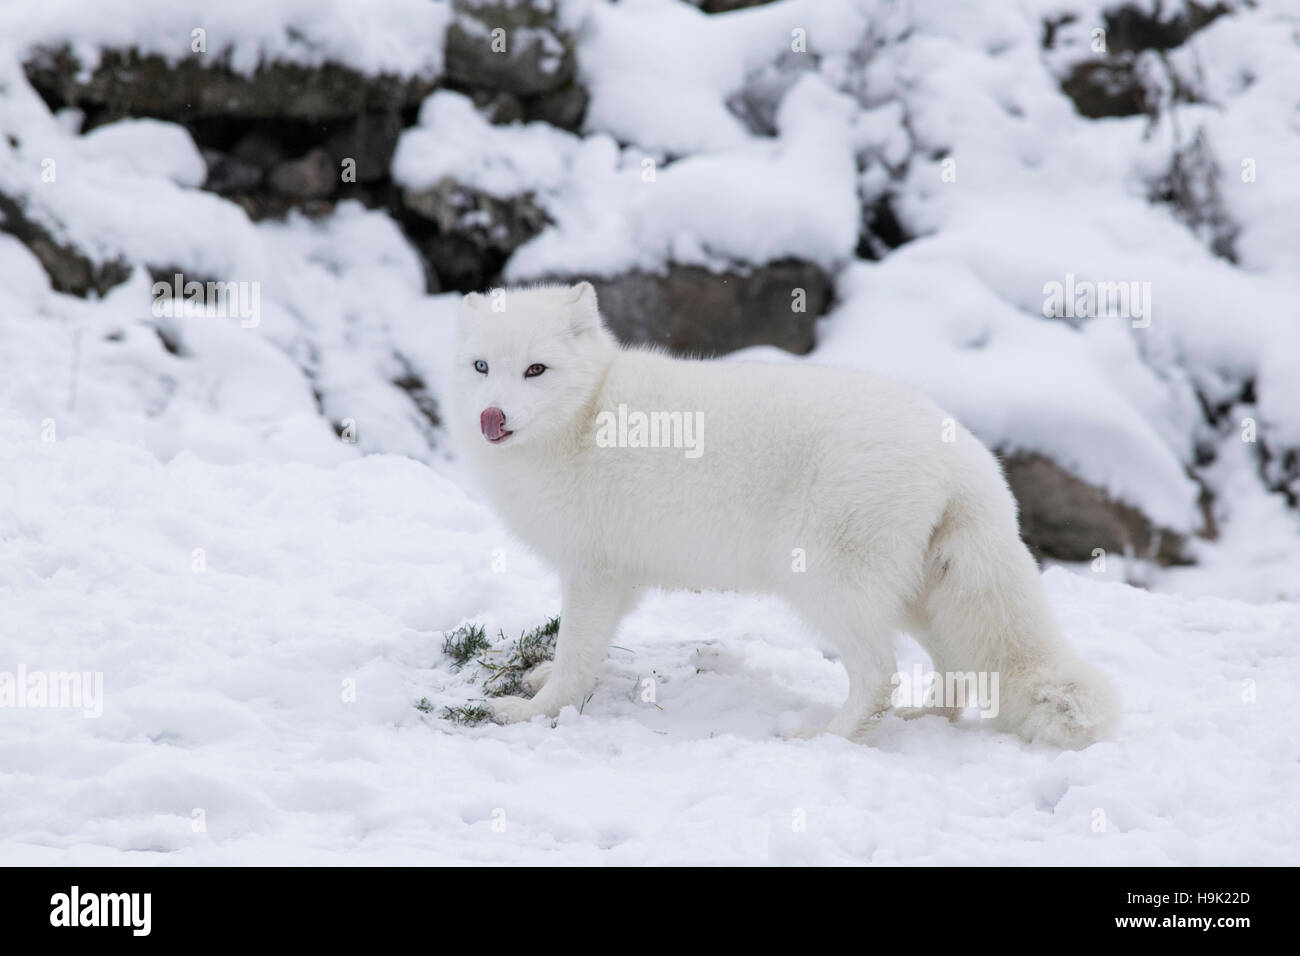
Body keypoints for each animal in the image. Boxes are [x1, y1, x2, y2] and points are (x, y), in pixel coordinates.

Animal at [448, 283, 1119, 748]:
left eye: (536, 370)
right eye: (481, 368)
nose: (491, 416)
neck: (584, 418)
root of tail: (964, 452)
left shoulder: (594, 572)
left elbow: (574, 657)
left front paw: (533, 711)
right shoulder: (615, 579)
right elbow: (578, 653)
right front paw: (539, 685)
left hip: (827, 582)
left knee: (880, 674)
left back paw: (827, 738)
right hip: (920, 595)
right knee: (953, 676)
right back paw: (920, 717)